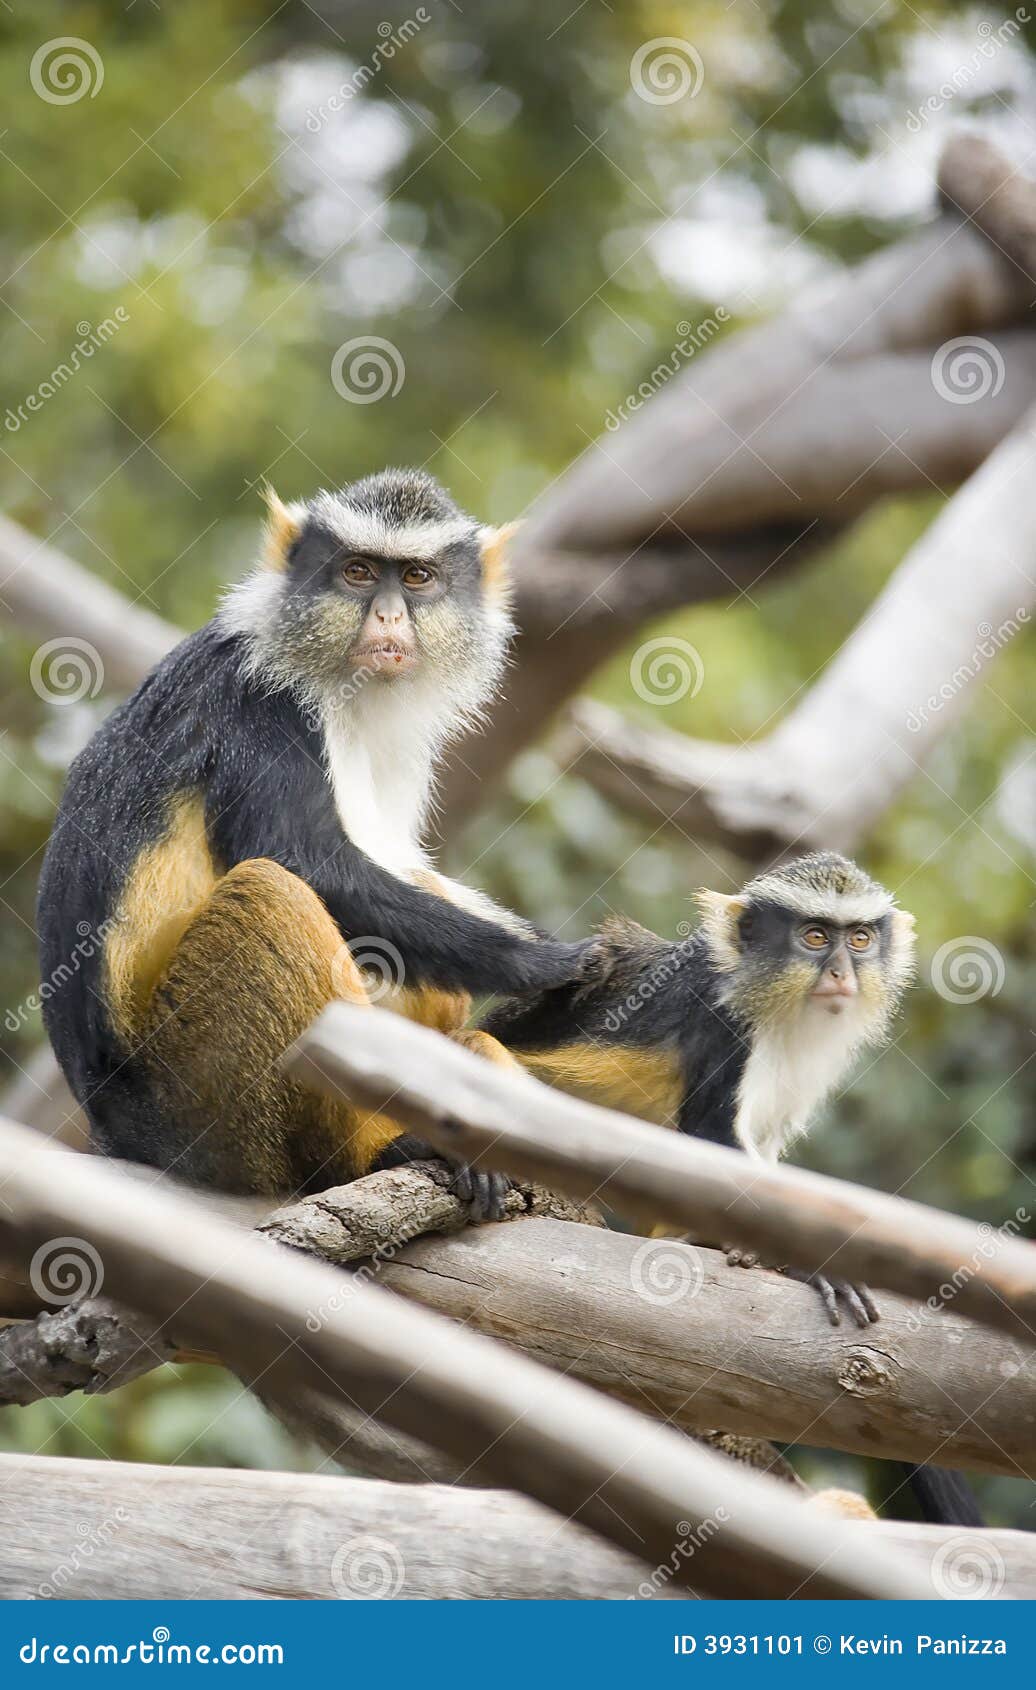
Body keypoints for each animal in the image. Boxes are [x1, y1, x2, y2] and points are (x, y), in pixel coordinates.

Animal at [37, 468, 599, 1208]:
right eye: (357, 572)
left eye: (416, 577)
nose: (387, 616)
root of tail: (115, 1131)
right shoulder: (262, 701)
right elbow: (304, 859)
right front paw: (544, 959)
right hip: (197, 1106)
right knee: (270, 893)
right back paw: (377, 1151)